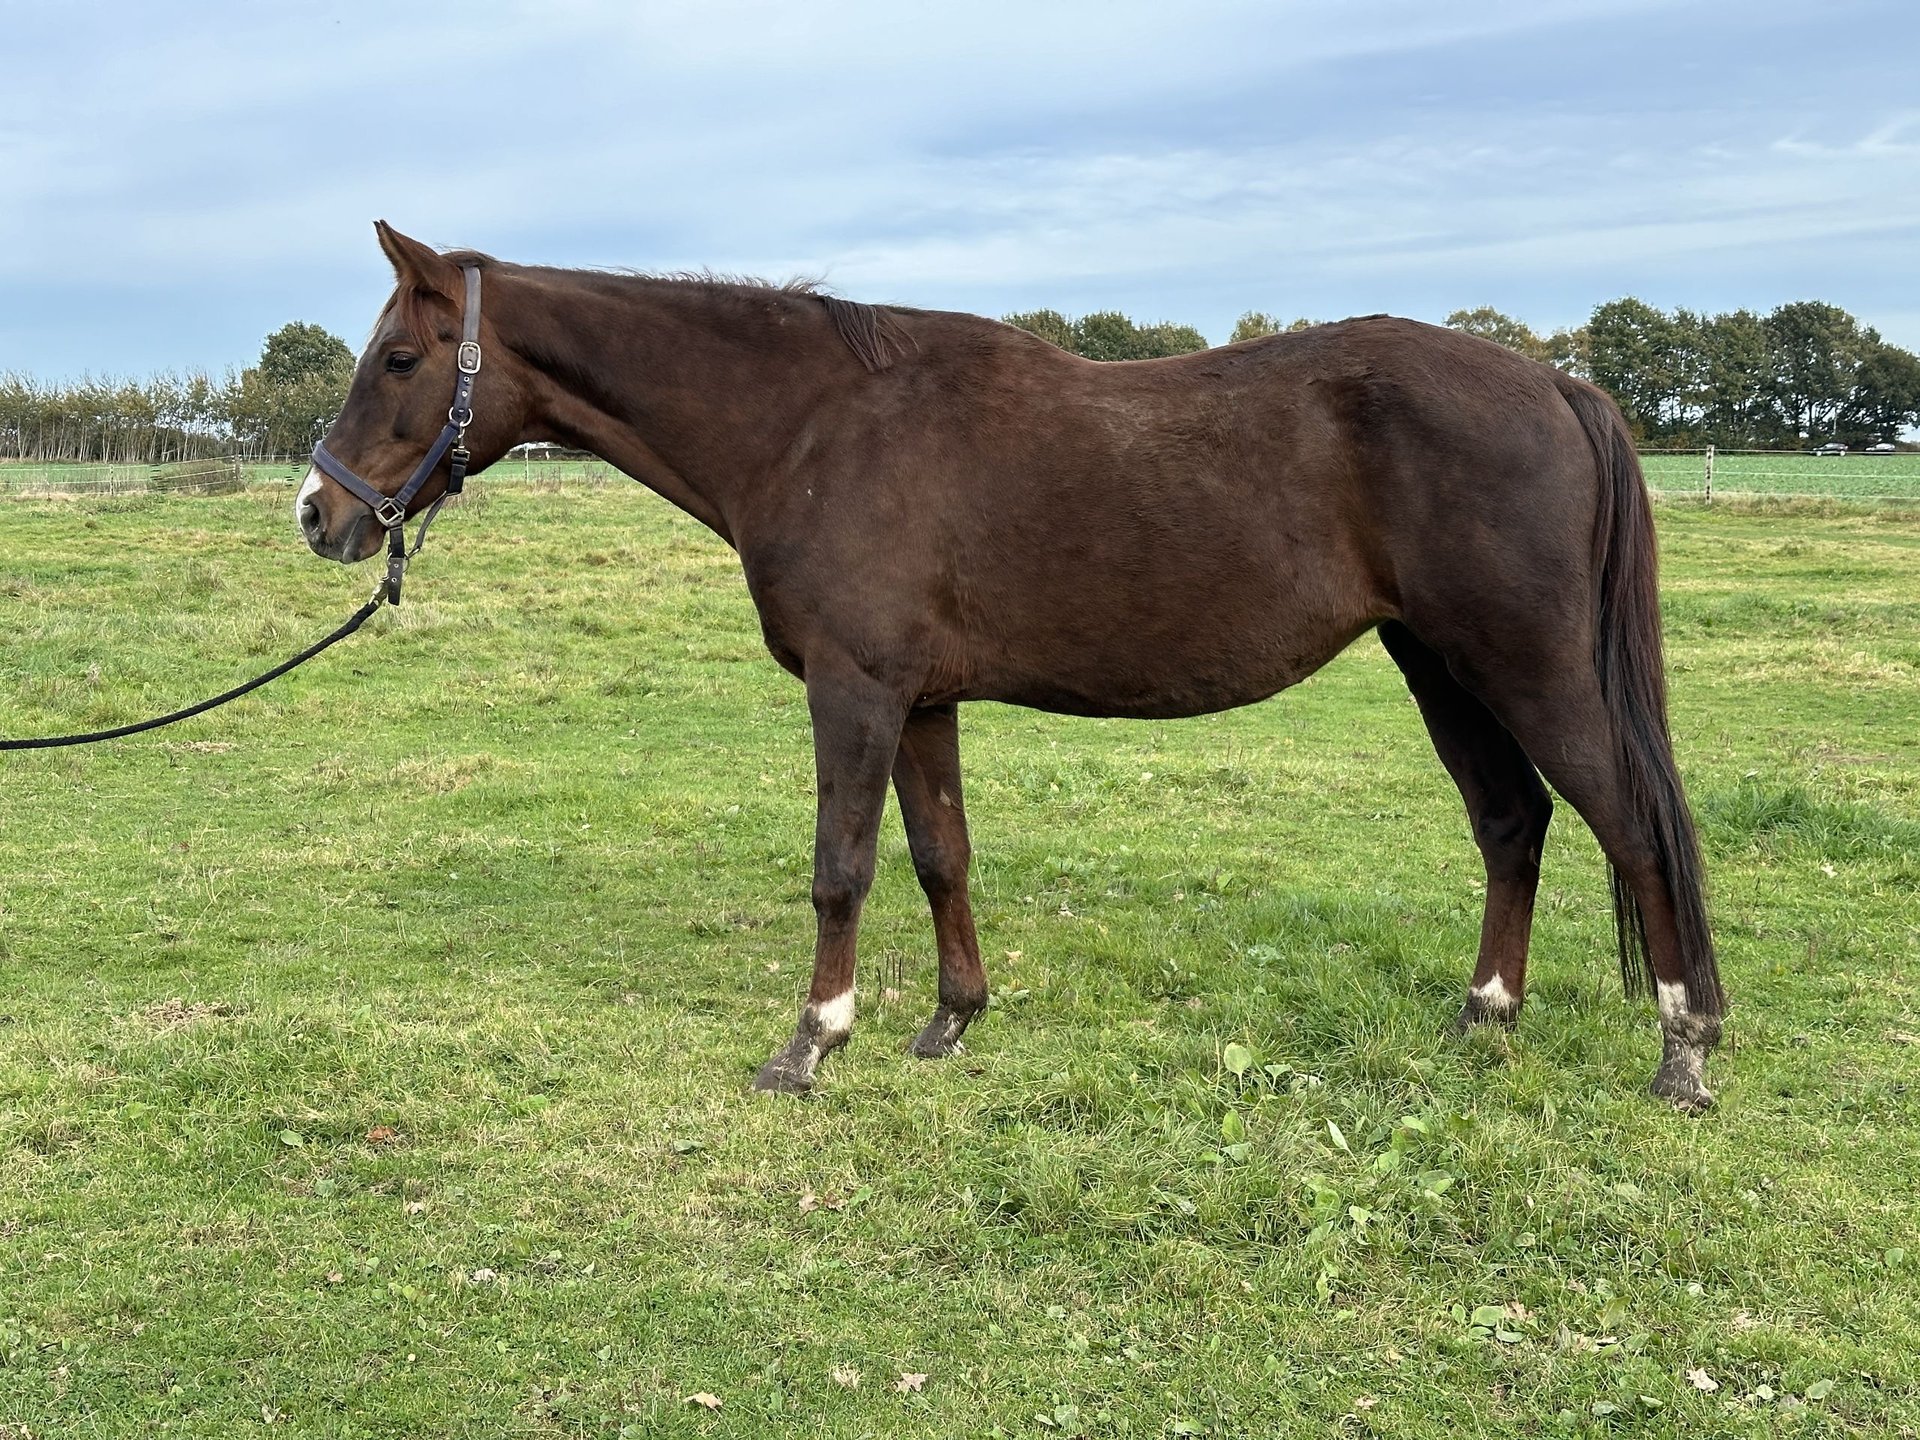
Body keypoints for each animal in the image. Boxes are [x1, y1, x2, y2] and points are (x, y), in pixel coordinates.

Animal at [298, 222, 1725, 1108]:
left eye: (401, 356)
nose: (318, 516)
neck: (813, 427)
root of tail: (1553, 385)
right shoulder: (922, 700)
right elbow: (941, 856)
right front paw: (951, 1020)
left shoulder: (855, 690)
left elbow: (842, 867)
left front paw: (809, 1046)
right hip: (1441, 665)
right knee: (1513, 823)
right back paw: (1486, 1017)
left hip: (1526, 665)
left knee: (1633, 825)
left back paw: (1682, 1051)